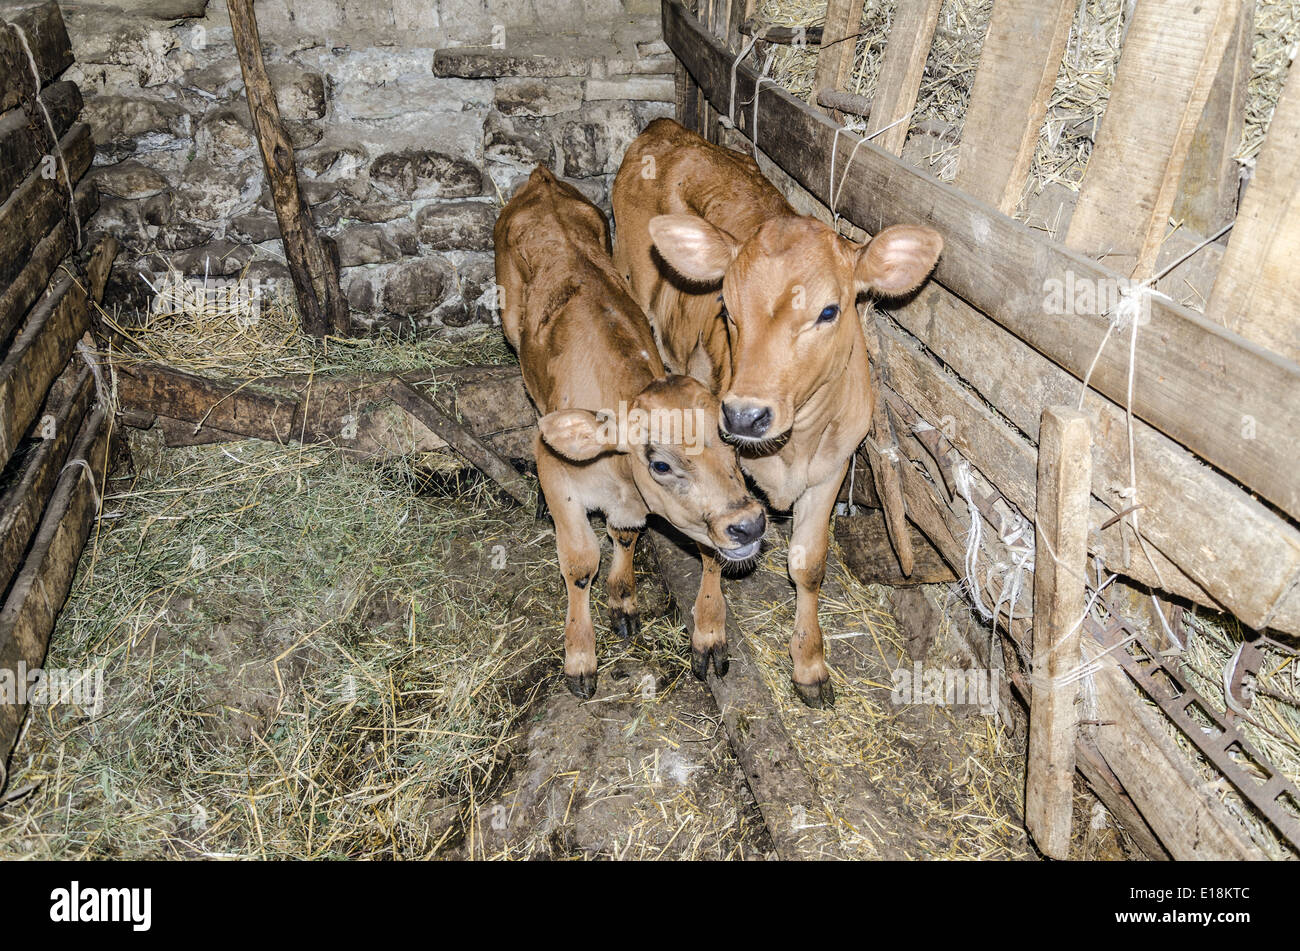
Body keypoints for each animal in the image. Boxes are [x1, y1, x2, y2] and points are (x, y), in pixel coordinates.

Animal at [495, 165, 767, 699]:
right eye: (659, 463)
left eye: (730, 443)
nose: (748, 524)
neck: (618, 482)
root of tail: (541, 179)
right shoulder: (557, 472)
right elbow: (581, 564)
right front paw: (580, 656)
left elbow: (643, 540)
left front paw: (649, 608)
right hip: (512, 329)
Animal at [612, 118, 943, 707]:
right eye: (726, 307)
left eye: (829, 311)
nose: (744, 416)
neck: (796, 444)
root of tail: (665, 129)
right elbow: (715, 543)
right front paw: (709, 630)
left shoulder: (832, 469)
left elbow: (808, 566)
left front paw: (809, 663)